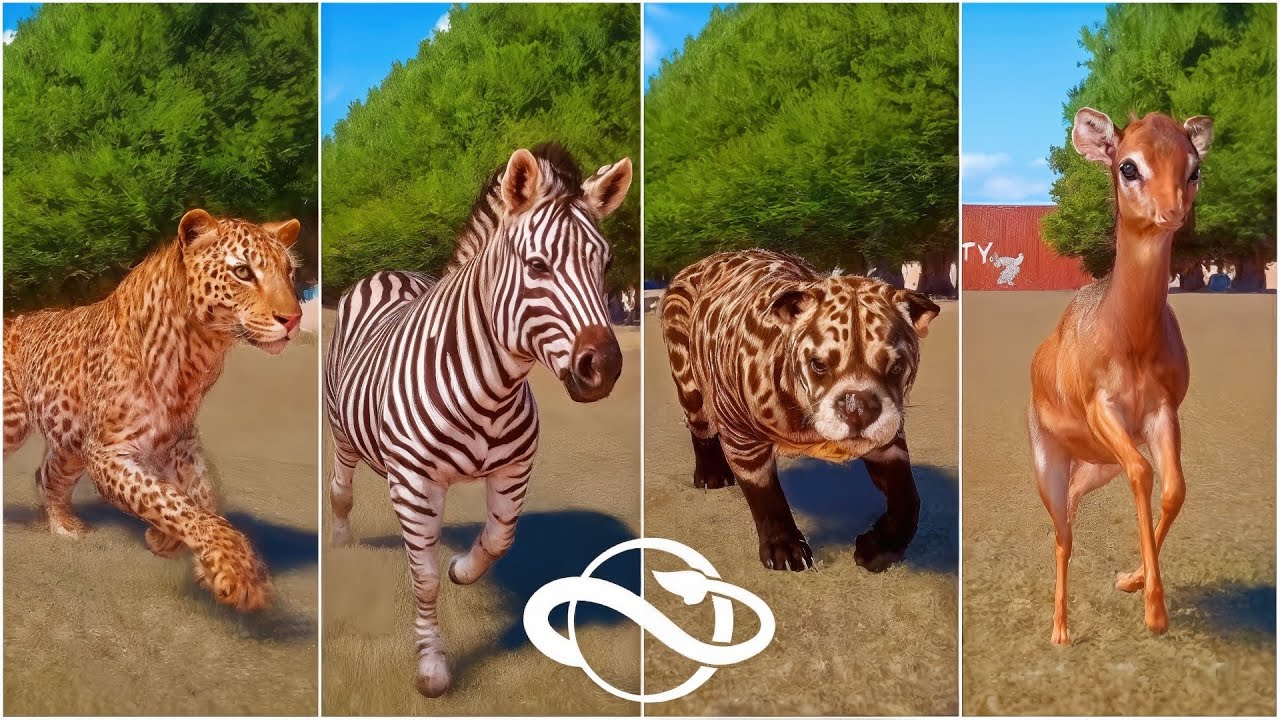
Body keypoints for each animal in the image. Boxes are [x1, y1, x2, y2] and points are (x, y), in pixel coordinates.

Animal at [2, 208, 303, 611]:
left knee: (46, 475)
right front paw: (236, 569)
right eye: (242, 272)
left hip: (70, 445)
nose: (294, 319)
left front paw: (175, 545)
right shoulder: (108, 452)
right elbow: (170, 500)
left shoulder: (178, 443)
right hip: (15, 423)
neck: (194, 356)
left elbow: (204, 495)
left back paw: (64, 525)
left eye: (289, 272)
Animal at [324, 143, 633, 697]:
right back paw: (340, 541)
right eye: (537, 265)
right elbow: (423, 579)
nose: (605, 367)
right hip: (342, 428)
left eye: (607, 263)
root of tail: (388, 271)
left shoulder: (514, 470)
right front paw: (431, 667)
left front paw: (462, 569)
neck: (489, 393)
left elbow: (498, 539)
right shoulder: (416, 485)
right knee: (341, 487)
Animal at [660, 249, 940, 573]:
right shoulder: (744, 442)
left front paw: (883, 546)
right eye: (818, 365)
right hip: (691, 389)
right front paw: (784, 544)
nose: (857, 405)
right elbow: (767, 498)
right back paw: (711, 473)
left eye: (896, 367)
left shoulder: (888, 445)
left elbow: (908, 497)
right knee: (701, 429)